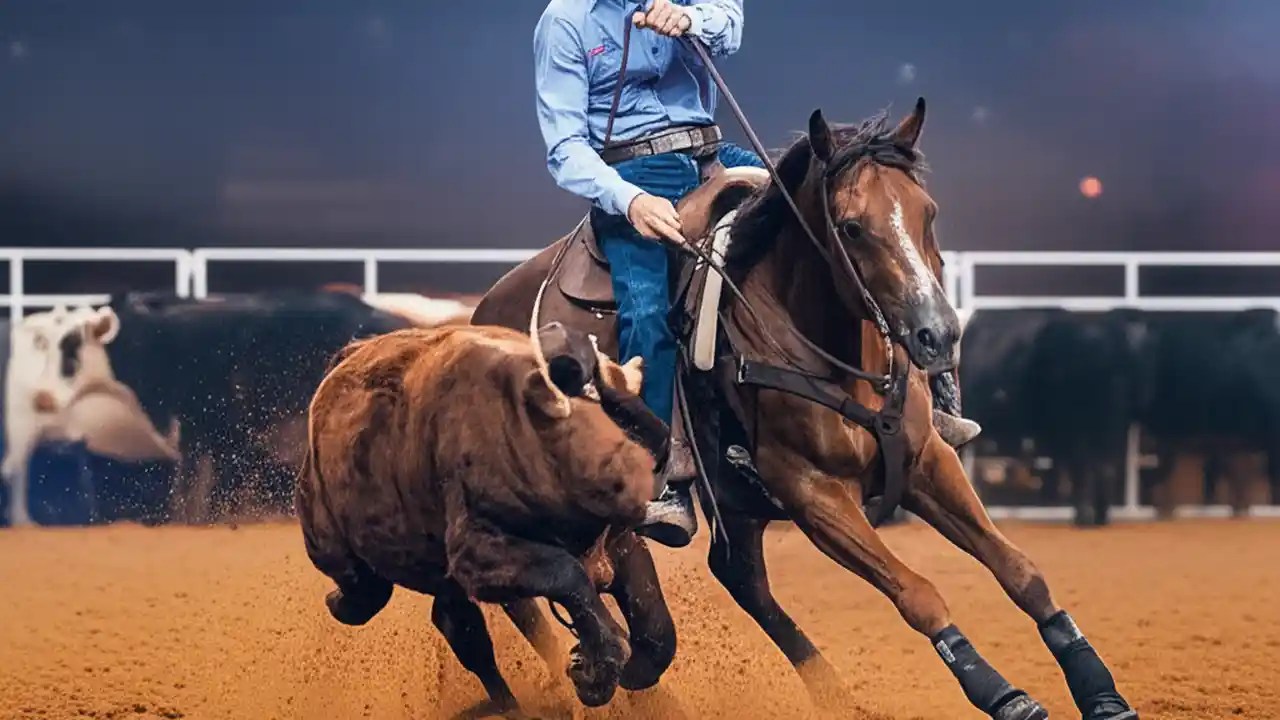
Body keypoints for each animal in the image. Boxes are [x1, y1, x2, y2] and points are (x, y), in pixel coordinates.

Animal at [297, 321, 677, 713]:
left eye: (632, 417)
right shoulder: (479, 556)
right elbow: (568, 575)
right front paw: (591, 669)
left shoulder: (619, 543)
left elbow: (657, 631)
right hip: (334, 549)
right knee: (370, 596)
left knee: (458, 627)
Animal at [473, 99, 1137, 720]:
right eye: (851, 227)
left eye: (928, 212)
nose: (937, 335)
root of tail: (480, 316)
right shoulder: (812, 492)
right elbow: (917, 593)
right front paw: (1002, 693)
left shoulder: (927, 460)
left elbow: (1021, 570)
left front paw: (1099, 690)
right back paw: (597, 664)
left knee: (733, 579)